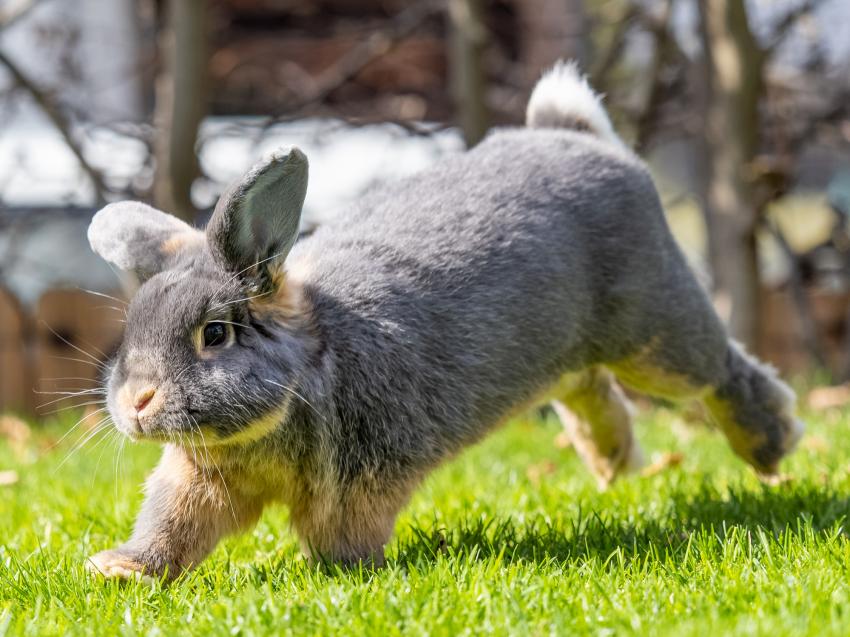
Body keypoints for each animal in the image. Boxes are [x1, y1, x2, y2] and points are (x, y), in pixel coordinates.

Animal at [85, 62, 803, 580]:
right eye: (133, 328)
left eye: (215, 333)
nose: (138, 401)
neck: (316, 361)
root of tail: (575, 133)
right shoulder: (199, 481)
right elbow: (172, 524)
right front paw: (122, 569)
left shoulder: (362, 478)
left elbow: (340, 530)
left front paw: (344, 572)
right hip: (568, 350)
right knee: (585, 384)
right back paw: (612, 463)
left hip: (657, 330)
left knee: (722, 373)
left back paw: (771, 444)